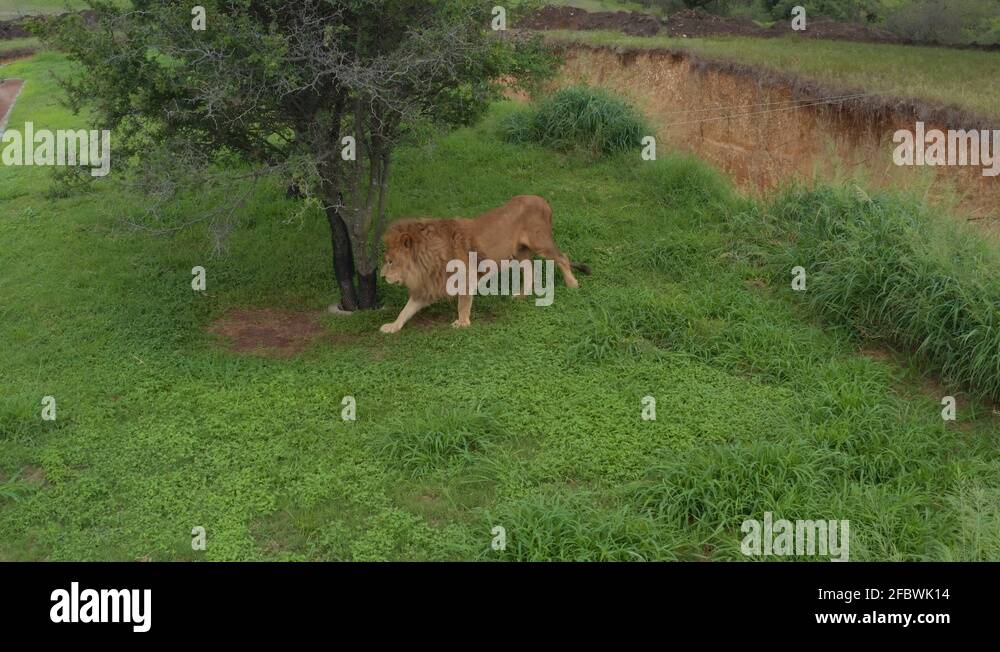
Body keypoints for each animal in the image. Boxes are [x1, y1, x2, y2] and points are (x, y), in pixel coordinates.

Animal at [378, 195, 589, 333]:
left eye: (390, 261)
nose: (381, 276)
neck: (427, 258)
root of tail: (543, 200)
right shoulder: (429, 284)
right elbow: (406, 310)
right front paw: (392, 326)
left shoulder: (465, 276)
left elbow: (463, 303)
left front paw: (462, 323)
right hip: (520, 252)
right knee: (530, 271)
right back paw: (520, 296)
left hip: (540, 243)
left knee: (562, 257)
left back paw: (572, 284)